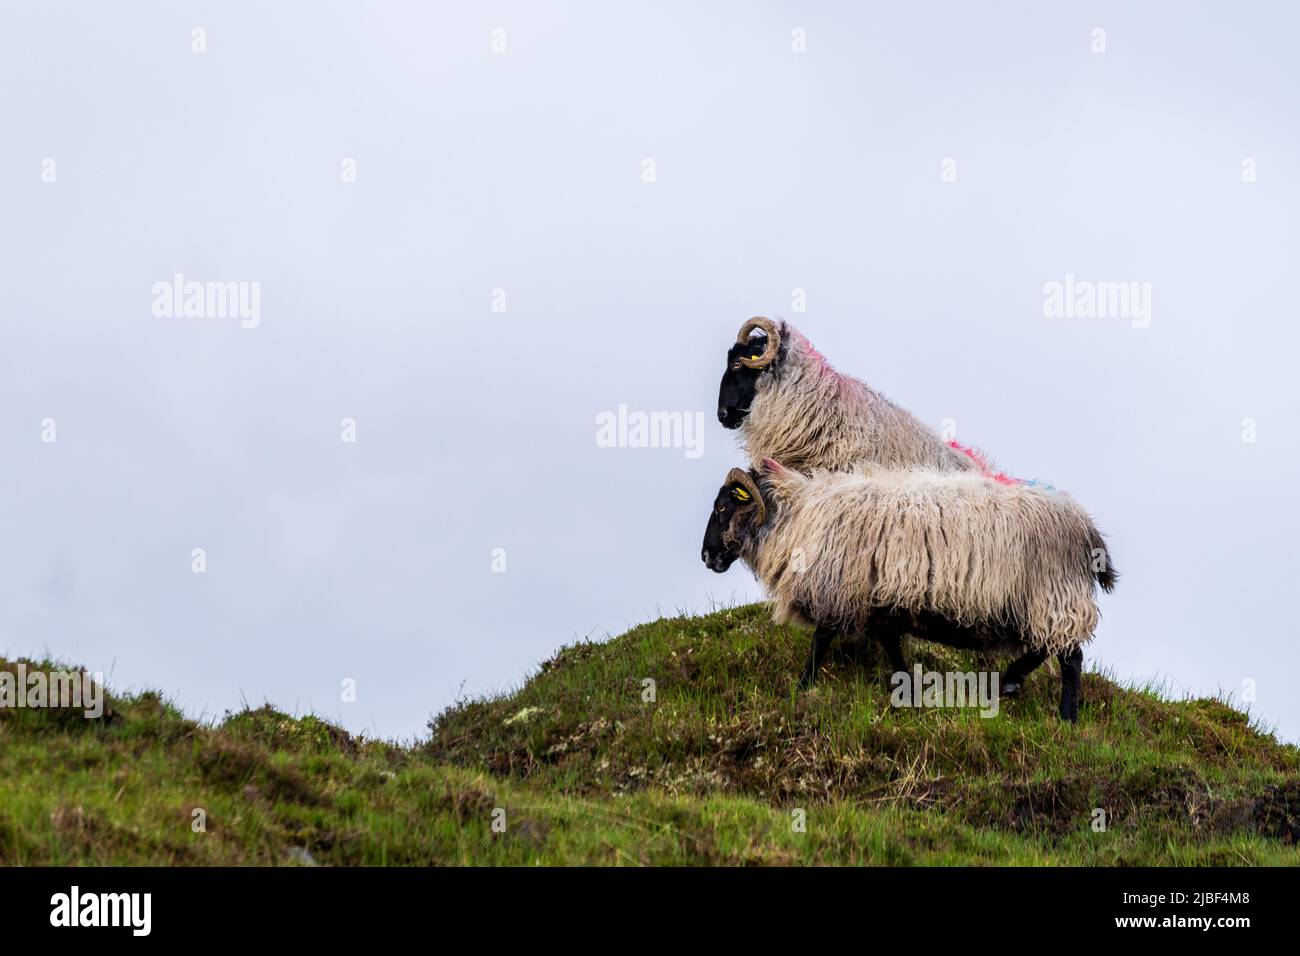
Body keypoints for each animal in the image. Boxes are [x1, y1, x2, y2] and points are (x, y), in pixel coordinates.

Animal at [699, 460, 1117, 721]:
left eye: (722, 508)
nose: (706, 556)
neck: (798, 518)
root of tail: (1088, 529)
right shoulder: (878, 601)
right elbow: (890, 645)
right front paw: (909, 689)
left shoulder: (838, 588)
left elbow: (821, 640)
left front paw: (802, 687)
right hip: (1045, 600)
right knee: (1052, 648)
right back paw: (1014, 683)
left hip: (1053, 594)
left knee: (1069, 656)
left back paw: (1062, 714)